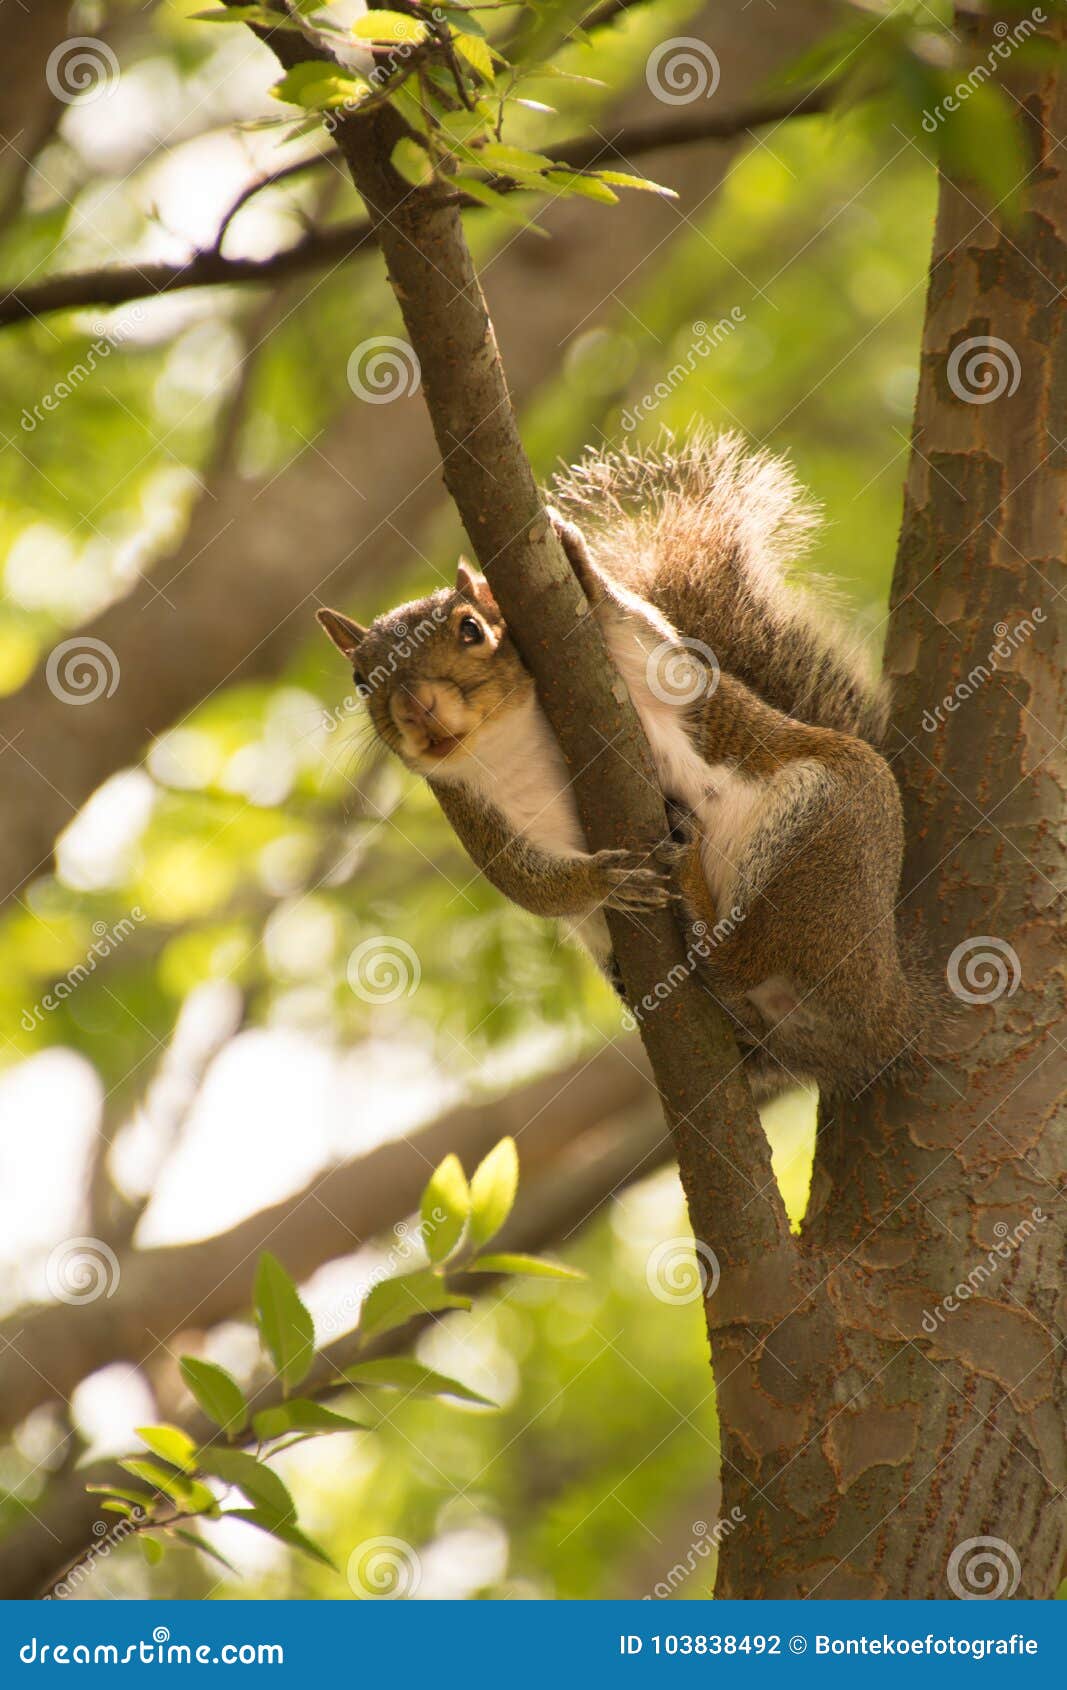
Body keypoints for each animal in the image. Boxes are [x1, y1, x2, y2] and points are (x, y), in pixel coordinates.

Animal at [317, 433, 927, 1103]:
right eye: (360, 679)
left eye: (471, 629)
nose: (413, 705)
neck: (506, 739)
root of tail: (886, 1011)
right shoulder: (472, 814)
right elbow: (528, 883)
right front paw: (602, 881)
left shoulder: (633, 684)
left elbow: (643, 638)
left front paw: (570, 550)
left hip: (824, 836)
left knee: (743, 955)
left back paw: (695, 891)